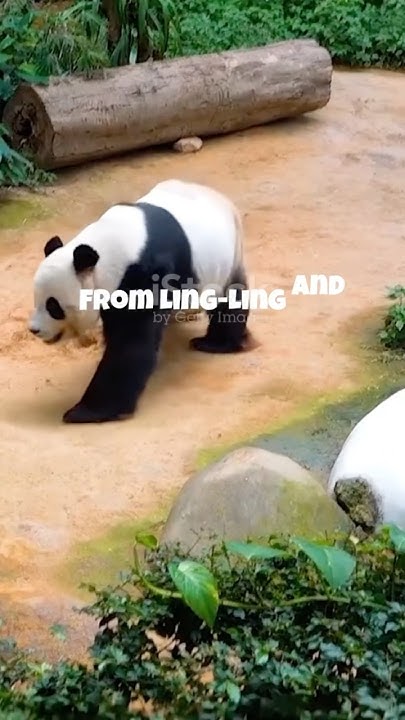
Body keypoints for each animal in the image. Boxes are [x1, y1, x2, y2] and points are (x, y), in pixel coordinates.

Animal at [28, 179, 250, 424]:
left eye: (53, 306)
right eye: (36, 300)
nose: (34, 330)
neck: (112, 245)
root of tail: (222, 199)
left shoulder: (147, 273)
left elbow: (131, 343)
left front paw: (85, 412)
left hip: (226, 259)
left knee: (229, 300)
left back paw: (215, 343)